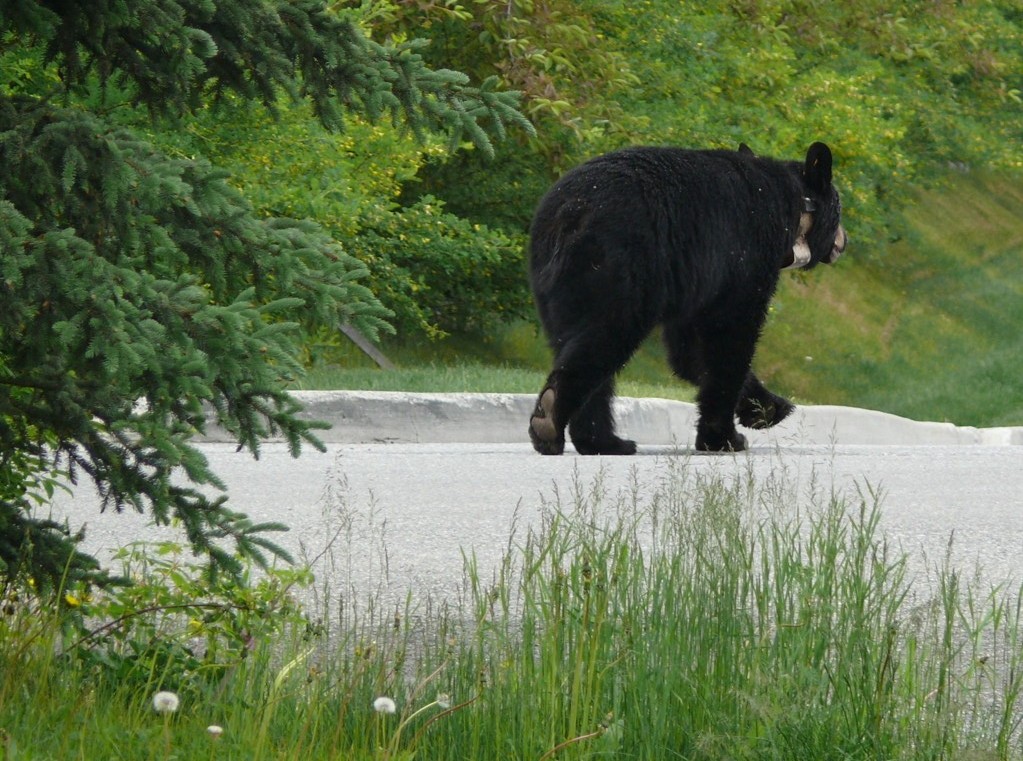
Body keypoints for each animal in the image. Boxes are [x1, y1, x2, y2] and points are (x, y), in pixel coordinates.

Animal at [527, 141, 847, 455]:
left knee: (570, 342)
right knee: (605, 337)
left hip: (552, 281)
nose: (844, 241)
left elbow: (690, 351)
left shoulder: (699, 282)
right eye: (839, 212)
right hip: (621, 267)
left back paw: (604, 442)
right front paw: (725, 438)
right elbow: (729, 339)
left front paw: (769, 407)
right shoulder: (745, 258)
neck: (794, 209)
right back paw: (549, 423)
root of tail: (570, 212)